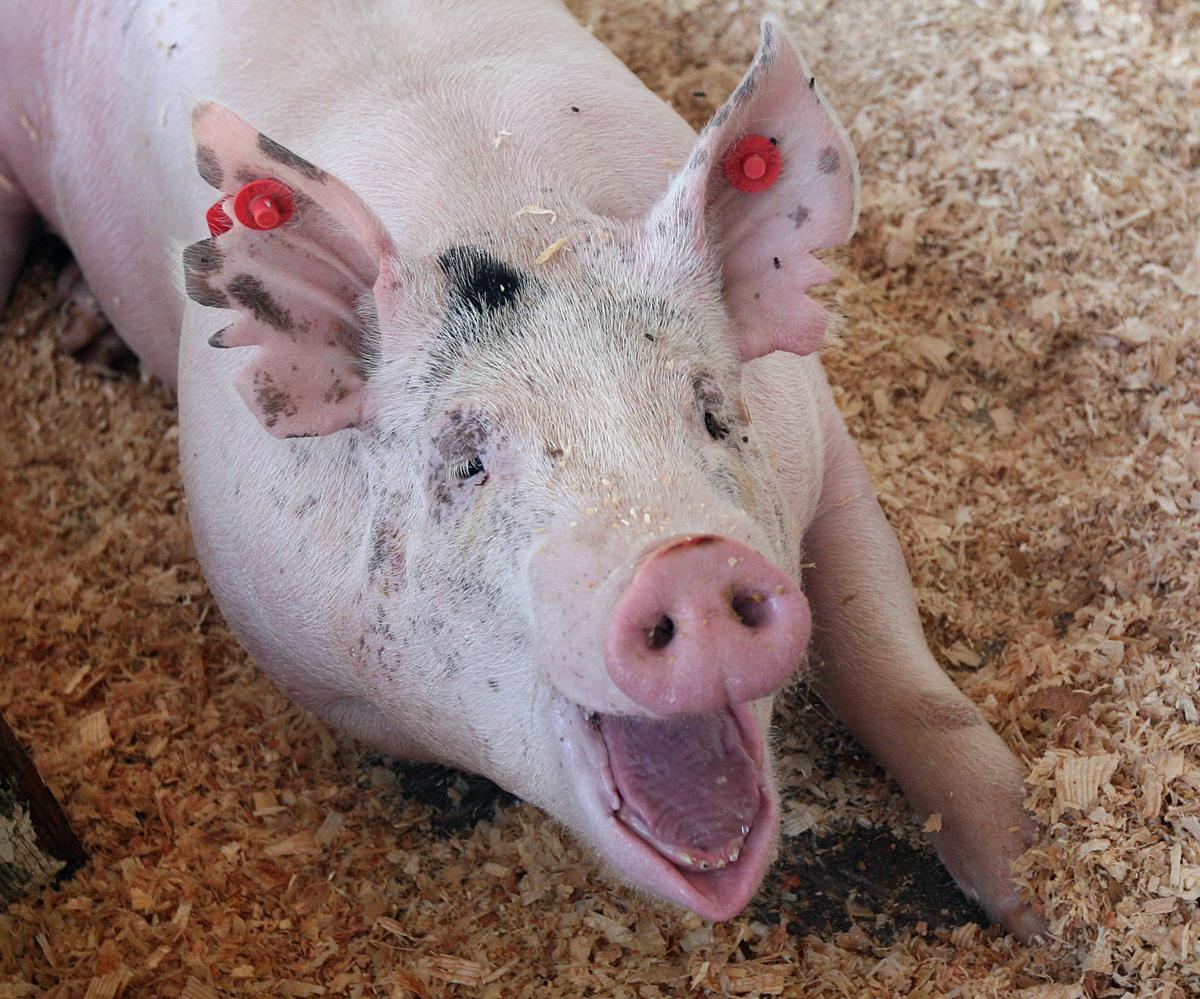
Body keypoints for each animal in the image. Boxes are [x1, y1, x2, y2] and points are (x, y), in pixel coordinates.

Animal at [0, 1, 1045, 940]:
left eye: (713, 412)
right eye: (466, 462)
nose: (690, 562)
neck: (497, 207)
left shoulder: (824, 443)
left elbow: (887, 654)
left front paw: (1040, 898)